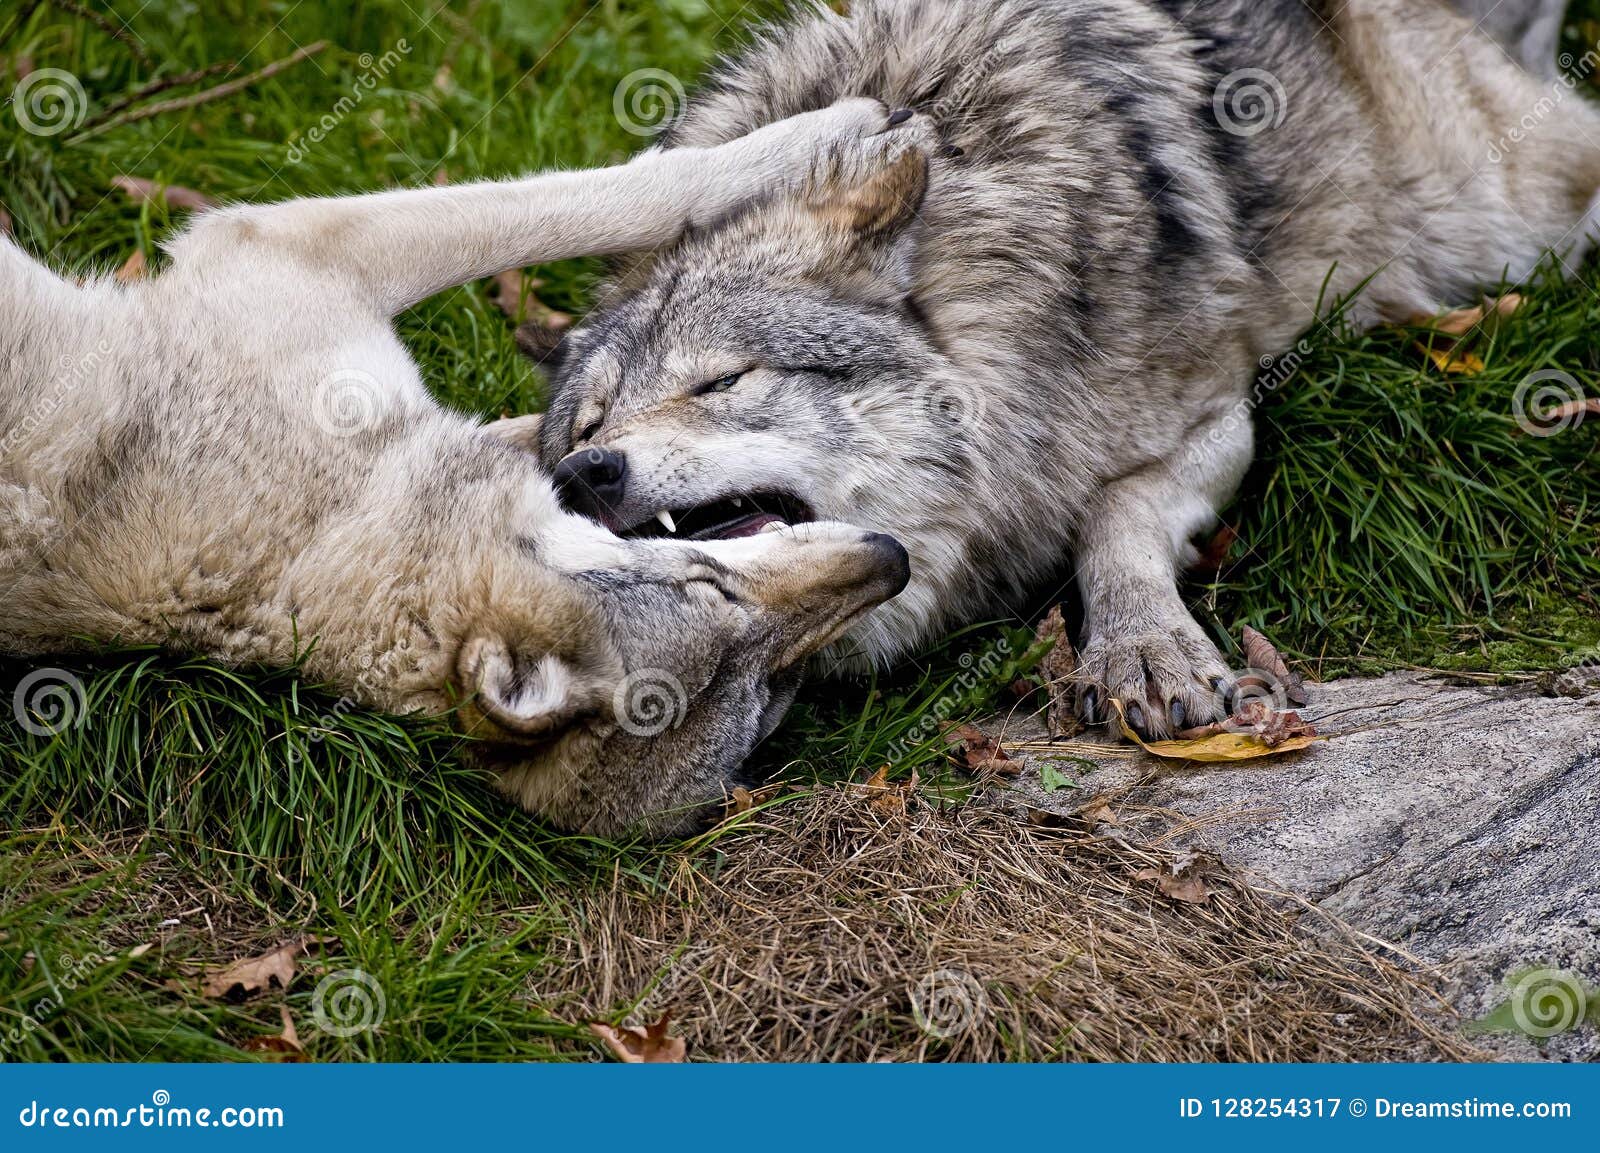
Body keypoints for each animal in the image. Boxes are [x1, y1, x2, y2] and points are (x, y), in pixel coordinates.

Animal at [0, 99, 930, 836]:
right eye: (712, 589)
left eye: (771, 696)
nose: (893, 560)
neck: (326, 522)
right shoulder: (278, 244)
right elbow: (633, 192)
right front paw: (848, 129)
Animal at [536, 0, 1600, 738]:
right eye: (587, 424)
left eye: (723, 382)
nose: (586, 473)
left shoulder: (1221, 411)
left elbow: (1113, 510)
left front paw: (1143, 648)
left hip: (1500, 223)